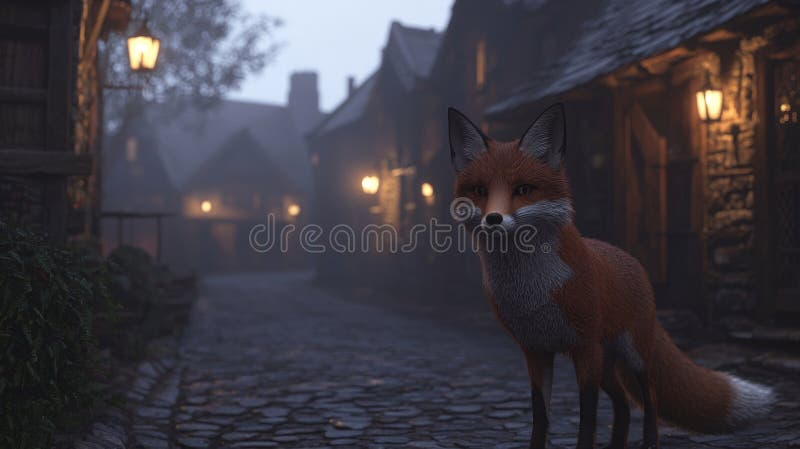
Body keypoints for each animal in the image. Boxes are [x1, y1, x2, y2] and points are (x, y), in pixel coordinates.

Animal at [447, 104, 774, 449]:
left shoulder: (585, 348)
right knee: (623, 403)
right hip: (606, 367)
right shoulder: (535, 352)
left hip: (632, 356)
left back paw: (650, 441)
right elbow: (540, 416)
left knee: (649, 396)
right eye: (480, 190)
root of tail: (631, 259)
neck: (533, 291)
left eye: (523, 189)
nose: (493, 219)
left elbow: (588, 418)